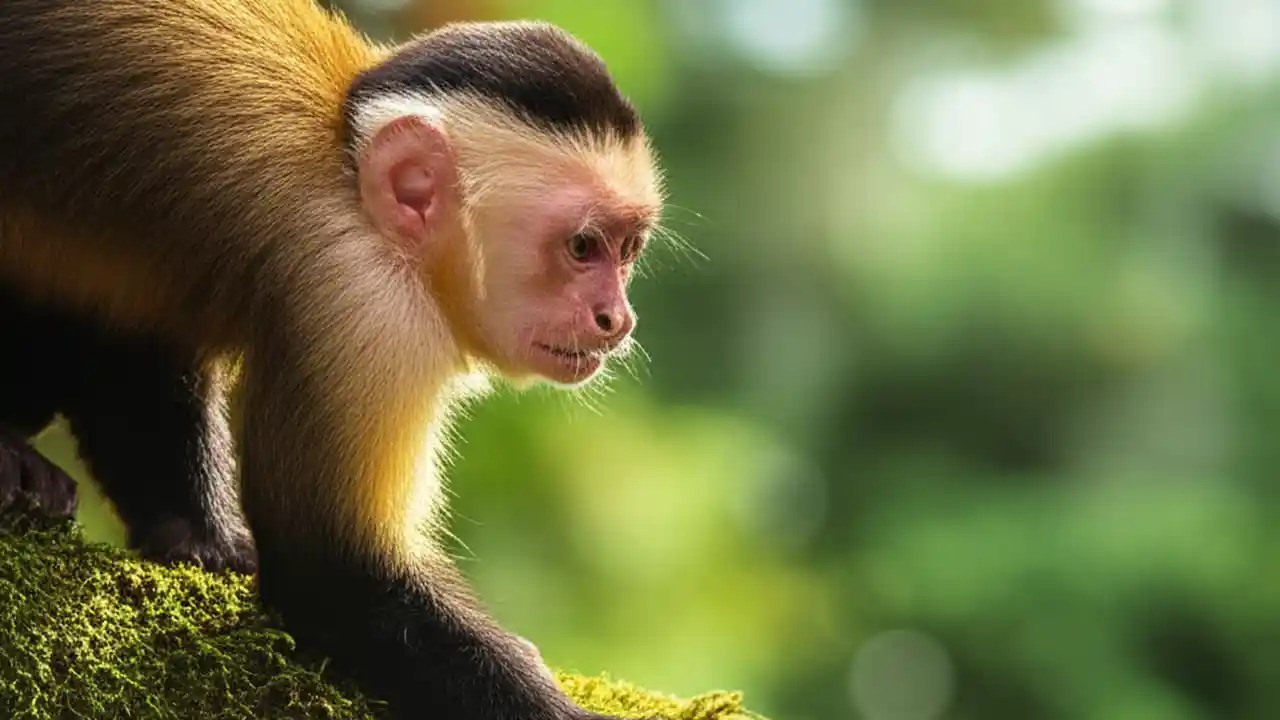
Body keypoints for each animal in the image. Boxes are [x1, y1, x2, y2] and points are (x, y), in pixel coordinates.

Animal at [0, 2, 664, 718]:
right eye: (582, 247)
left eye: (628, 249)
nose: (618, 319)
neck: (349, 177)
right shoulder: (367, 300)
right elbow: (330, 573)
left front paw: (203, 541)